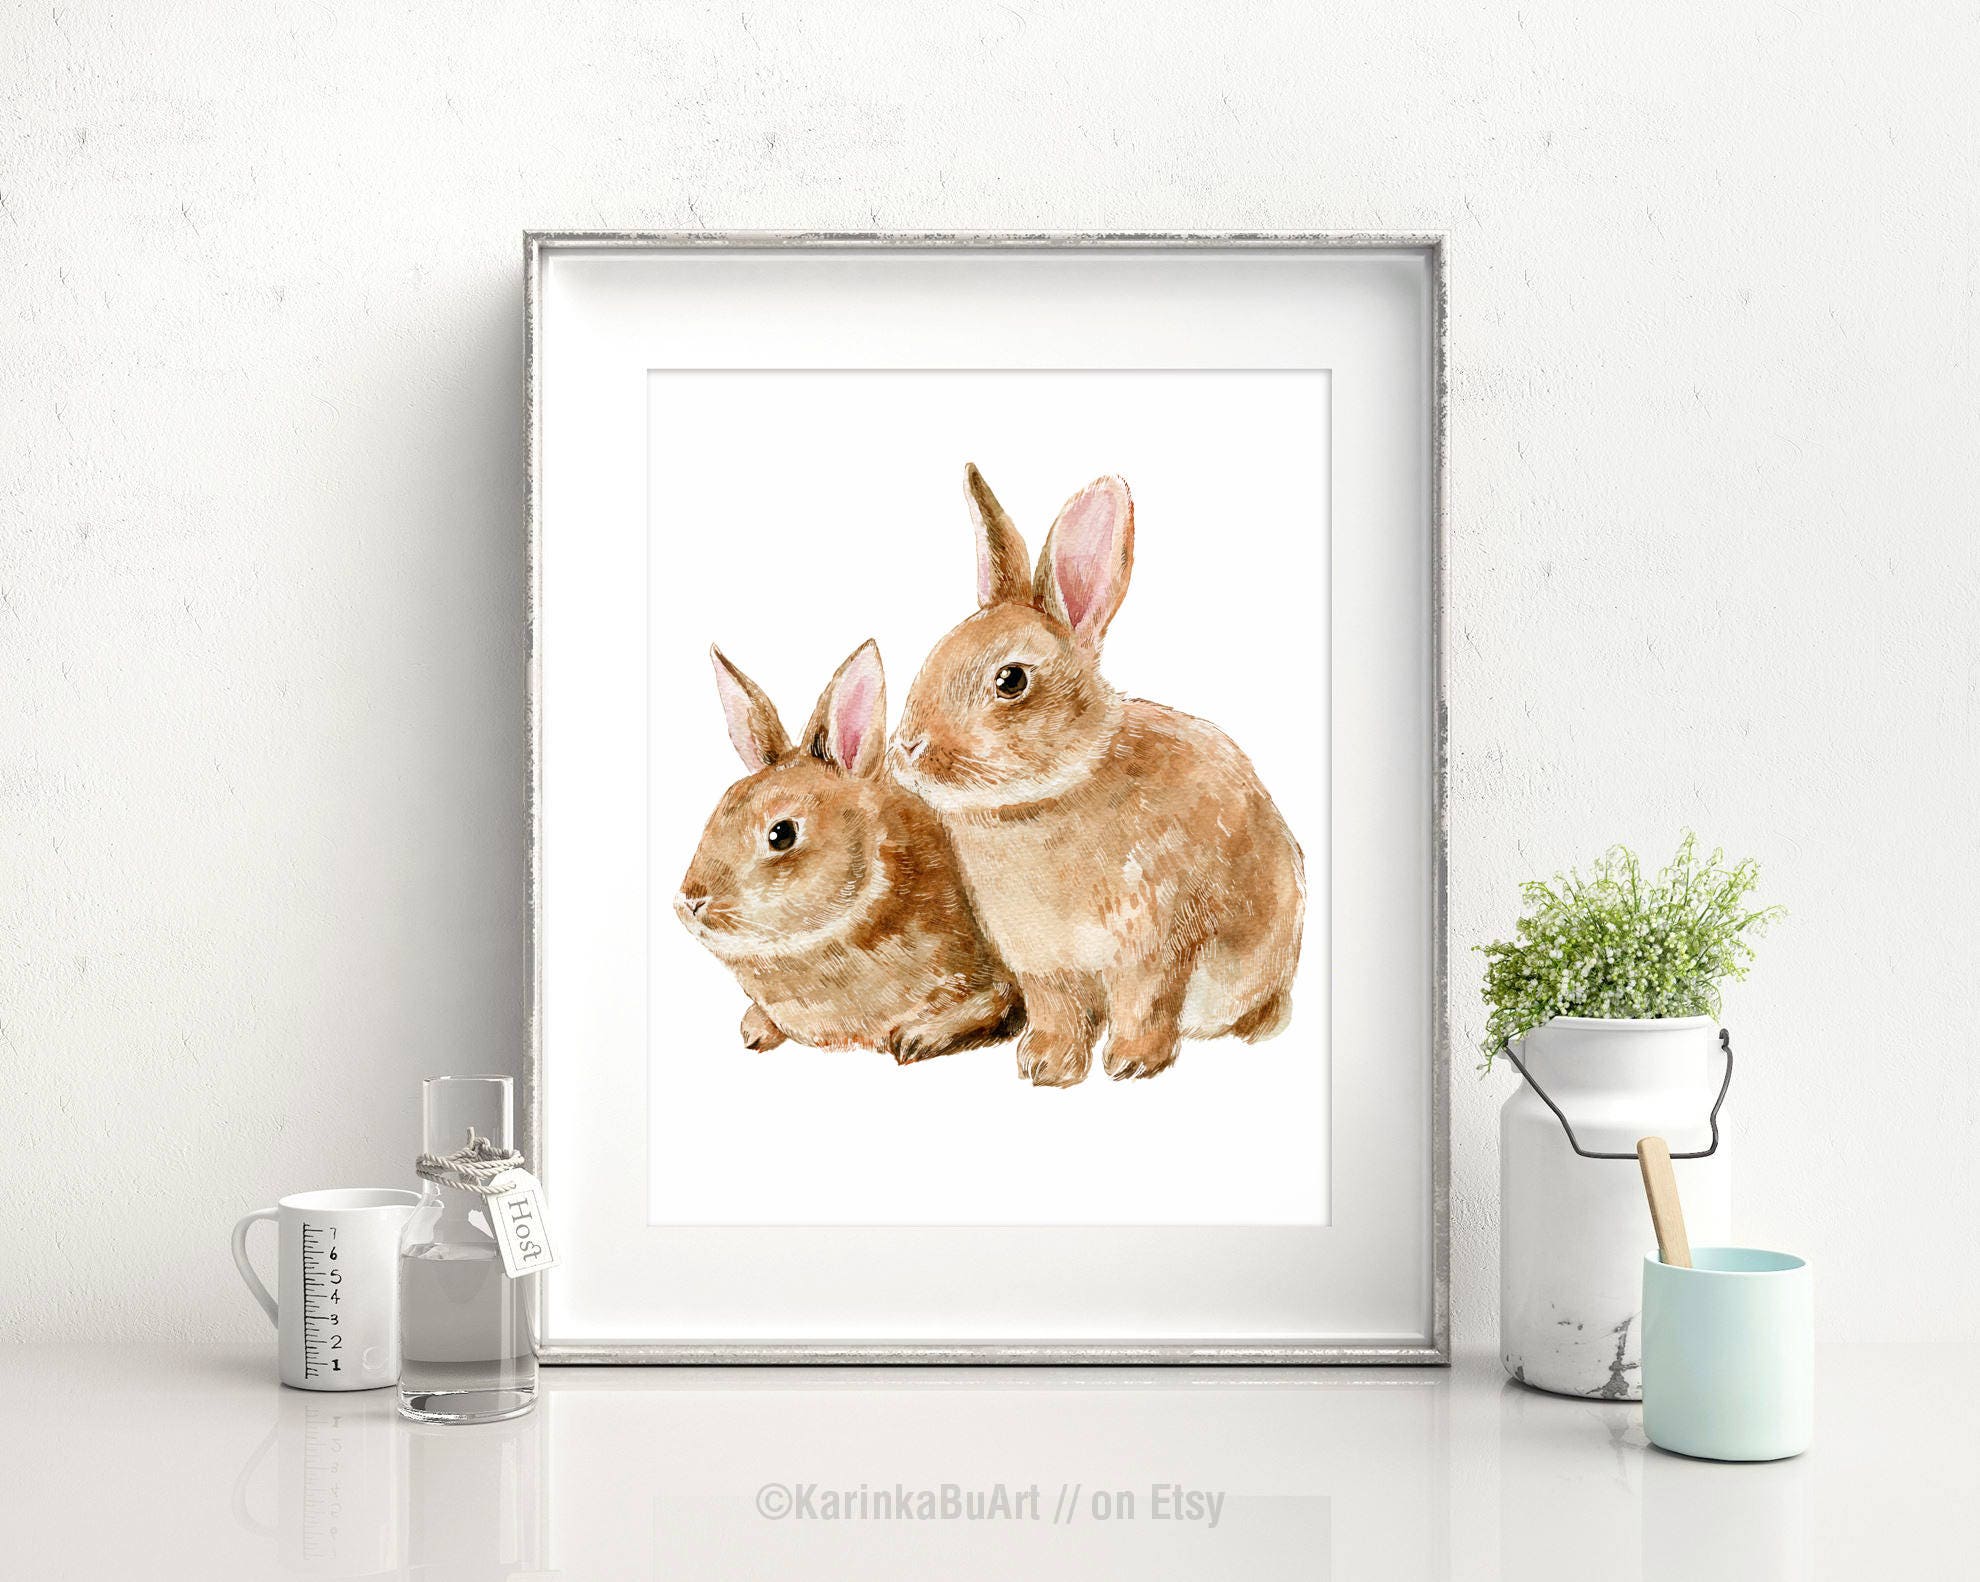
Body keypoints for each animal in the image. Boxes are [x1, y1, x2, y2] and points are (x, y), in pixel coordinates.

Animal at [675, 637, 1022, 1064]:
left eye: (781, 834)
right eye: (720, 807)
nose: (691, 900)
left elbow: (996, 1001)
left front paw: (919, 1037)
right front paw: (755, 1029)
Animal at [891, 465, 1305, 1086]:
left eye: (1011, 680)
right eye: (935, 653)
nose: (908, 747)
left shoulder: (1153, 949)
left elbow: (1144, 1004)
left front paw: (1131, 1063)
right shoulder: (1040, 963)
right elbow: (1054, 1011)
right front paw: (1046, 1066)